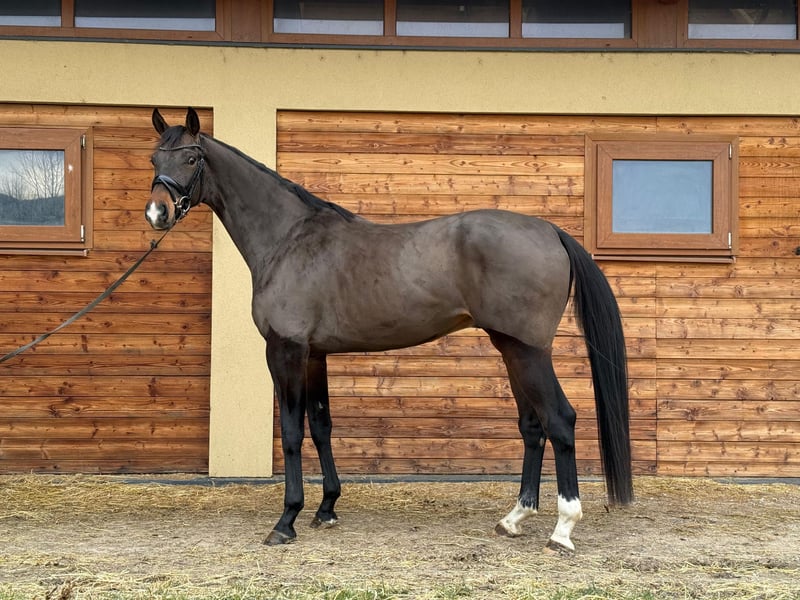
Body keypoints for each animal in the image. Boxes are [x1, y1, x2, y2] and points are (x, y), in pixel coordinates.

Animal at [146, 108, 633, 553]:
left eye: (191, 157)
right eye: (154, 158)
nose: (157, 212)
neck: (289, 239)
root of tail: (551, 231)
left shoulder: (286, 351)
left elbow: (291, 432)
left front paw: (286, 520)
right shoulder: (315, 354)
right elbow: (321, 424)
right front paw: (327, 508)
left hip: (528, 351)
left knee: (560, 420)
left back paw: (562, 530)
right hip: (510, 348)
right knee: (533, 425)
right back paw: (514, 518)